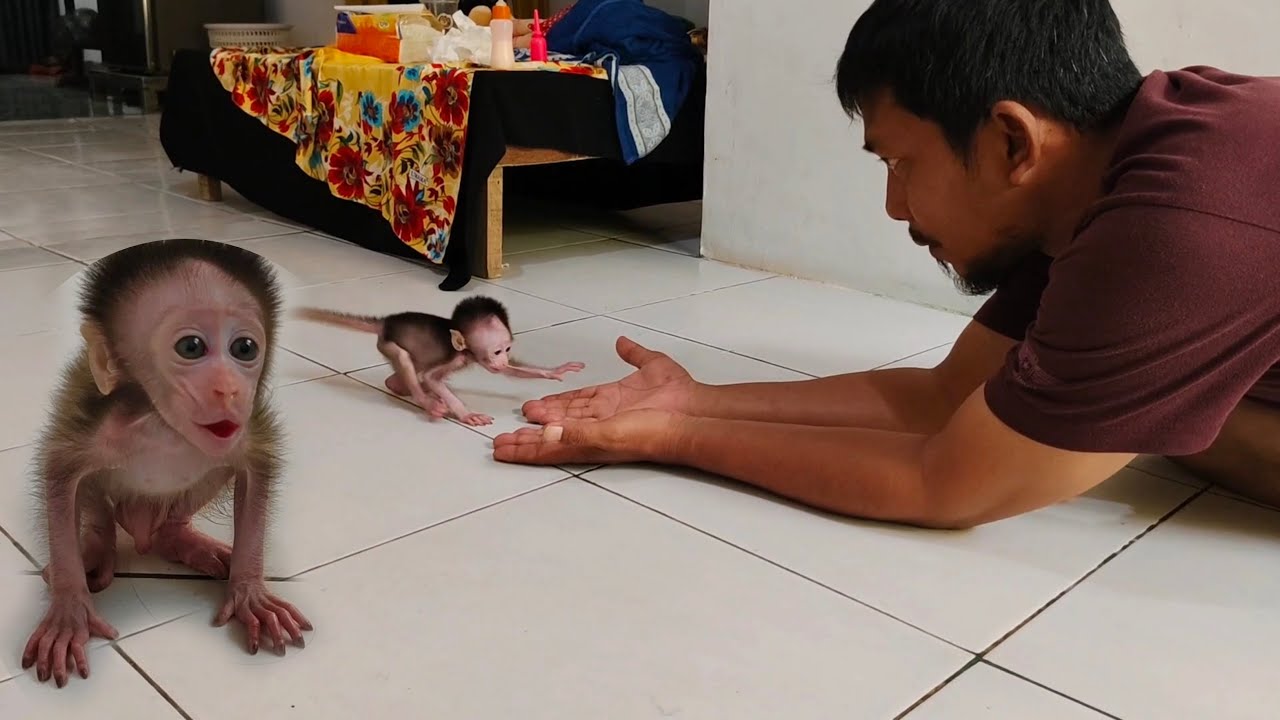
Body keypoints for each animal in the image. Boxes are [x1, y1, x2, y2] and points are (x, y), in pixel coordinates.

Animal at [21, 238, 311, 688]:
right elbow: (60, 475)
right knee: (93, 499)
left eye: (244, 348)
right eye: (191, 347)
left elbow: (254, 473)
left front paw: (250, 590)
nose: (229, 390)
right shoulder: (94, 424)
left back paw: (178, 539)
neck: (163, 424)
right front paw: (69, 609)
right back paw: (98, 546)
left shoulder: (246, 431)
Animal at [295, 296, 585, 426]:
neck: (465, 349)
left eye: (507, 348)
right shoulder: (456, 358)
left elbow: (515, 372)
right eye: (496, 351)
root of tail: (386, 322)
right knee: (407, 363)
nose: (501, 361)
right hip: (388, 345)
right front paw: (466, 413)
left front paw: (553, 371)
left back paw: (405, 387)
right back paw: (426, 400)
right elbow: (432, 377)